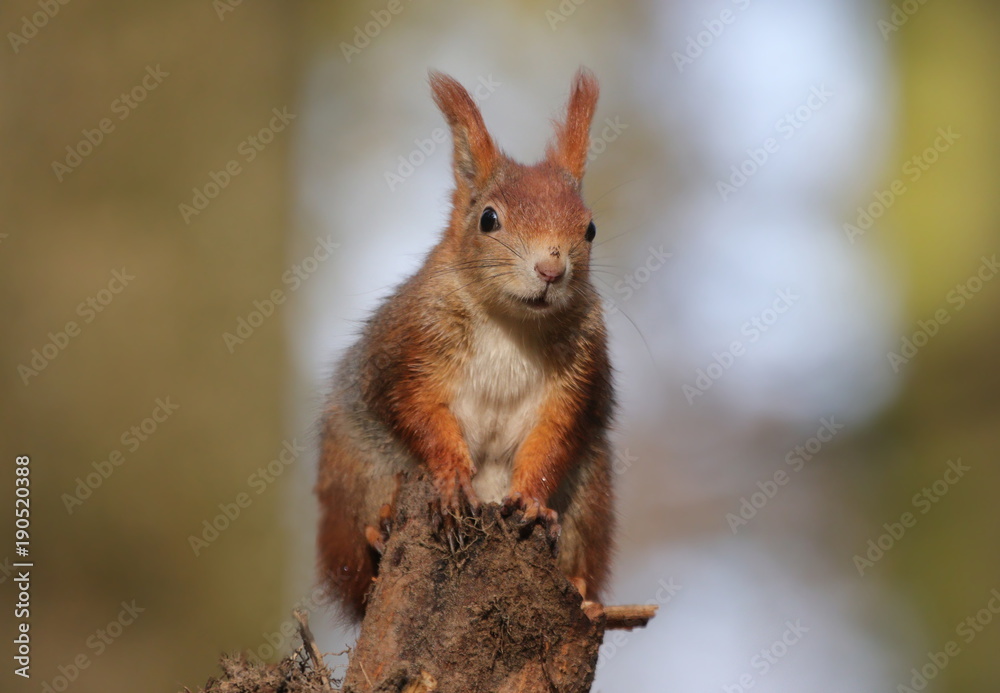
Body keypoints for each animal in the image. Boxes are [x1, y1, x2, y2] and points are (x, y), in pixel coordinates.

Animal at [317, 68, 615, 622]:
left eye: (589, 228)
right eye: (489, 219)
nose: (551, 268)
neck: (512, 323)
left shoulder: (579, 378)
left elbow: (553, 439)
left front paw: (531, 501)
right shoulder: (408, 349)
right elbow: (415, 410)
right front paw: (453, 476)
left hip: (590, 500)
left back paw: (580, 589)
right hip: (358, 470)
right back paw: (378, 528)